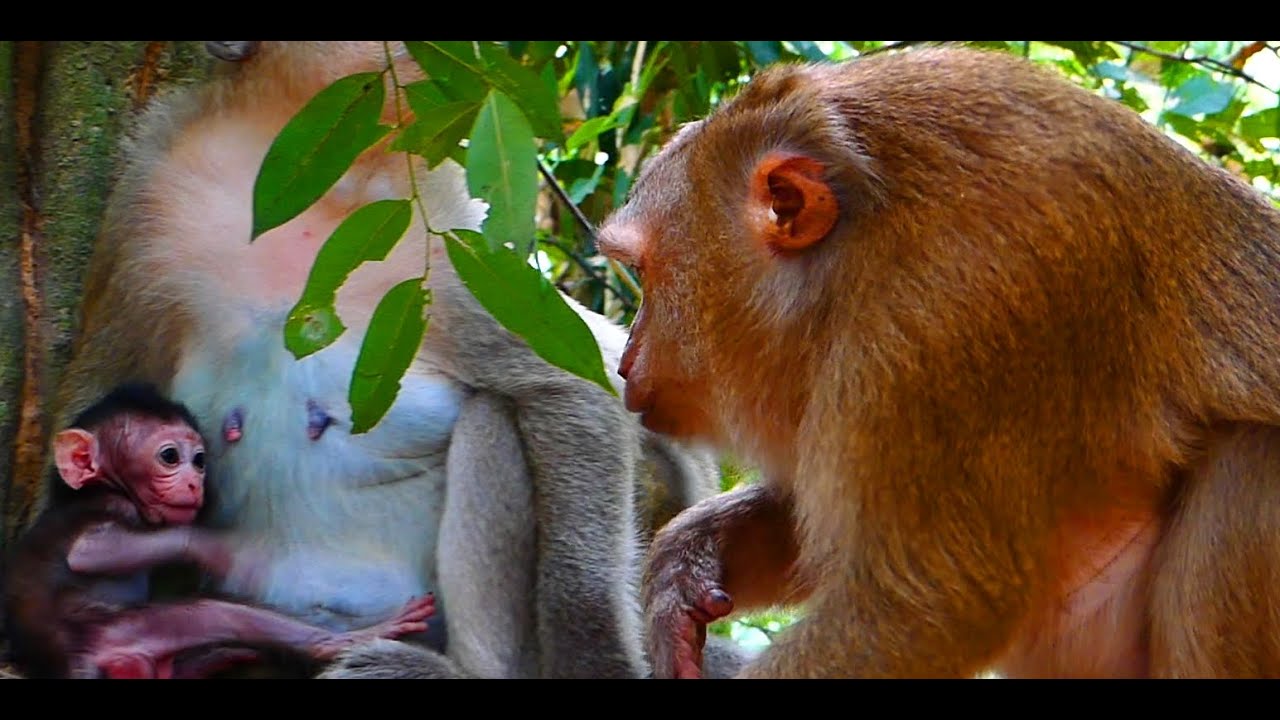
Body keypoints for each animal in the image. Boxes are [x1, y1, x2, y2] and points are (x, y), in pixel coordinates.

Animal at [3, 382, 435, 679]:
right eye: (170, 456)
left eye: (199, 460)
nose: (196, 483)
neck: (107, 488)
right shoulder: (113, 507)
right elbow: (89, 552)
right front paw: (222, 549)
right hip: (110, 636)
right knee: (207, 611)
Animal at [595, 45, 1280, 679]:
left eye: (646, 275)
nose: (627, 360)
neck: (858, 252)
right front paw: (685, 562)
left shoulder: (943, 321)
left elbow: (932, 608)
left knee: (1248, 466)